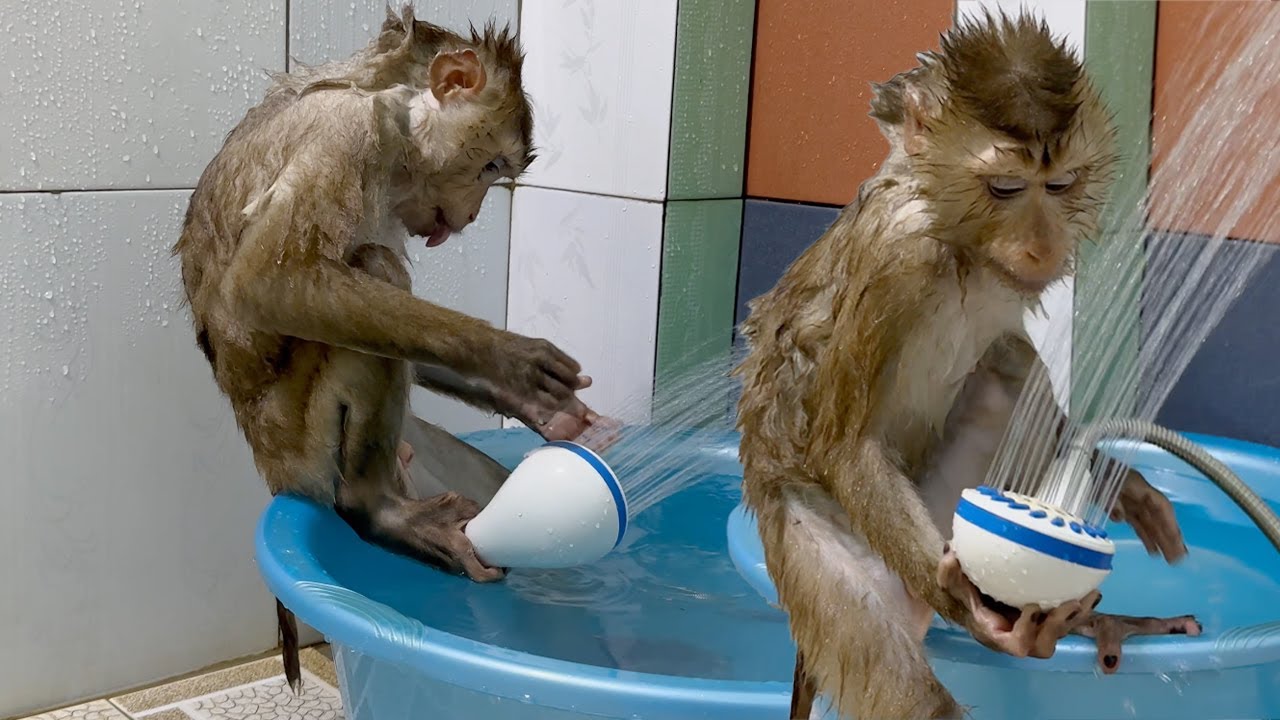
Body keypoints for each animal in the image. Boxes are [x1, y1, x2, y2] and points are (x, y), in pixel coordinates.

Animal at [174, 5, 611, 691]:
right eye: (491, 167)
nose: (469, 216)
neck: (387, 105)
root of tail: (276, 475)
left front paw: (542, 407)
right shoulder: (343, 133)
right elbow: (267, 285)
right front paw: (509, 358)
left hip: (418, 454)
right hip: (303, 445)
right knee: (374, 266)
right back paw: (377, 510)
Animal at [734, 12, 1201, 720]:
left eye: (1059, 184)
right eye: (1005, 187)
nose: (1041, 243)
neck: (957, 244)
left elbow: (1009, 353)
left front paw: (1120, 482)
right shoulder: (893, 259)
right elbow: (846, 444)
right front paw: (969, 604)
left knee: (1002, 383)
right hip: (822, 546)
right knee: (905, 683)